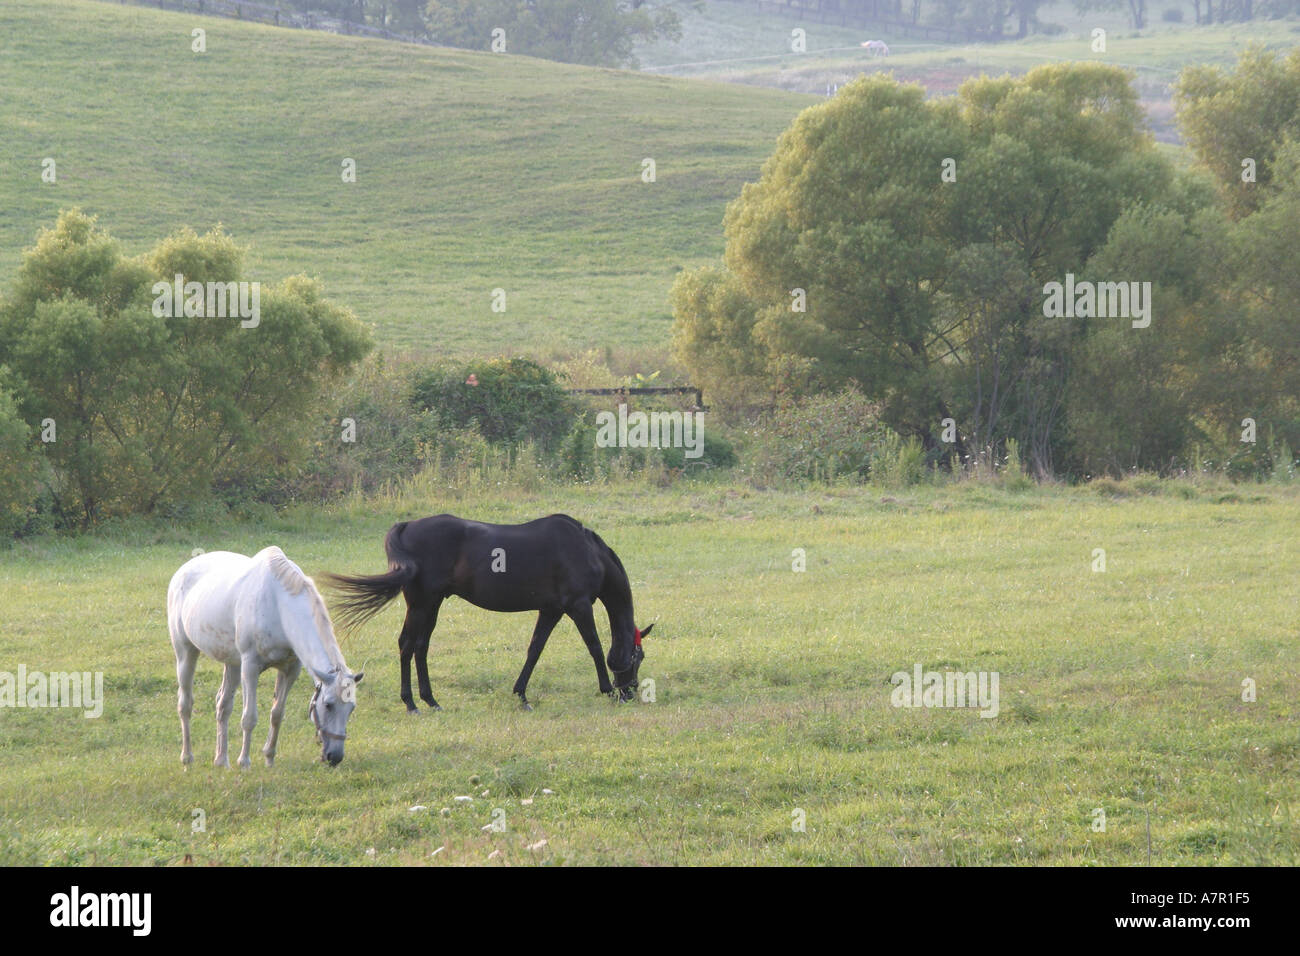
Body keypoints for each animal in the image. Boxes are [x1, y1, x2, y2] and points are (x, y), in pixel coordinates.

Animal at [167, 546, 363, 768]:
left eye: (351, 708)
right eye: (328, 705)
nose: (335, 756)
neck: (278, 606)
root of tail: (183, 570)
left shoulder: (290, 669)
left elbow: (277, 714)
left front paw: (269, 758)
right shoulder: (250, 667)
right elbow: (249, 718)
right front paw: (244, 762)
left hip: (232, 664)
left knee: (223, 705)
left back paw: (221, 760)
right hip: (186, 653)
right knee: (185, 704)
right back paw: (187, 757)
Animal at [325, 514, 652, 712]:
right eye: (638, 657)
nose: (631, 690)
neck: (587, 551)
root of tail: (407, 525)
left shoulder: (551, 610)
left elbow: (534, 650)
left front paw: (521, 694)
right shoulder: (579, 606)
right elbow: (594, 647)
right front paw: (607, 690)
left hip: (431, 604)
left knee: (420, 646)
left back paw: (430, 700)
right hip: (421, 604)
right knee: (407, 645)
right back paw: (411, 703)